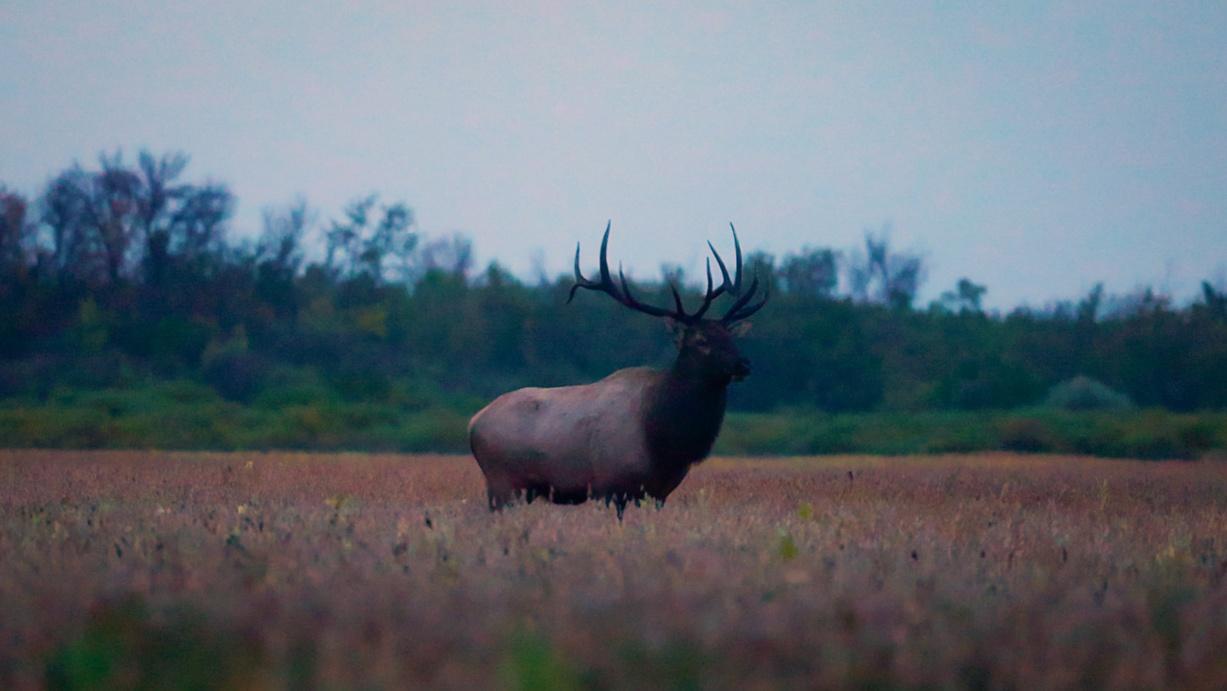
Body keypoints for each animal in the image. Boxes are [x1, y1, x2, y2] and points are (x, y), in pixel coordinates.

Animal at [468, 222, 768, 516]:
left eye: (731, 337)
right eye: (701, 340)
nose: (744, 364)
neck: (664, 437)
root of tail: (473, 424)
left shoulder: (659, 492)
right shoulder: (609, 486)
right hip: (503, 483)